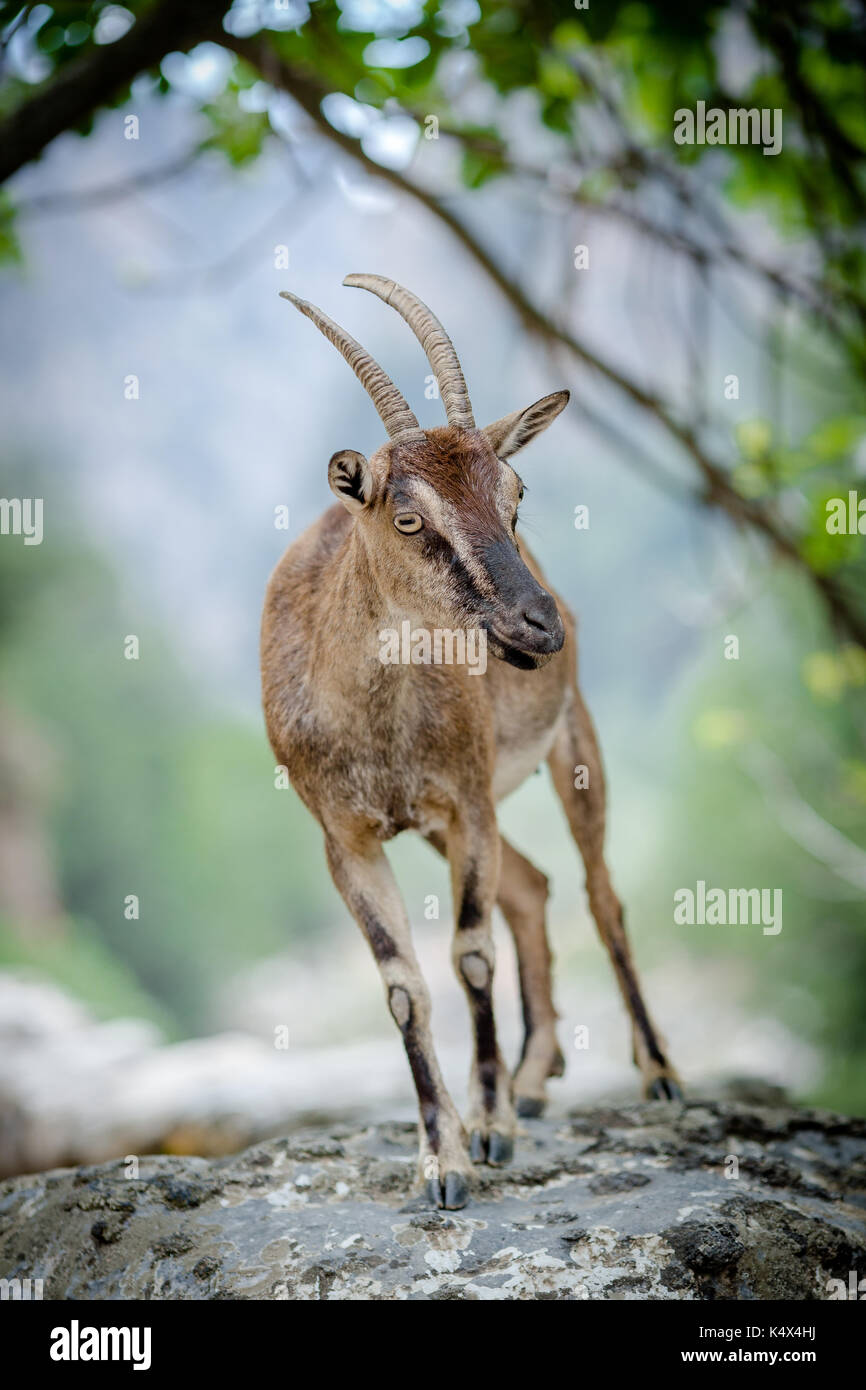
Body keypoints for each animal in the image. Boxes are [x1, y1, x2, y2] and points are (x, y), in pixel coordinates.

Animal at [261, 274, 681, 1209]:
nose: (539, 625)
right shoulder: (348, 838)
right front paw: (442, 1160)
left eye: (515, 495)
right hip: (447, 823)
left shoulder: (467, 800)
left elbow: (471, 956)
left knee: (600, 894)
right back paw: (536, 1074)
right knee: (531, 885)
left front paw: (489, 1131)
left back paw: (657, 1073)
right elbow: (404, 989)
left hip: (570, 746)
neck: (370, 715)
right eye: (408, 519)